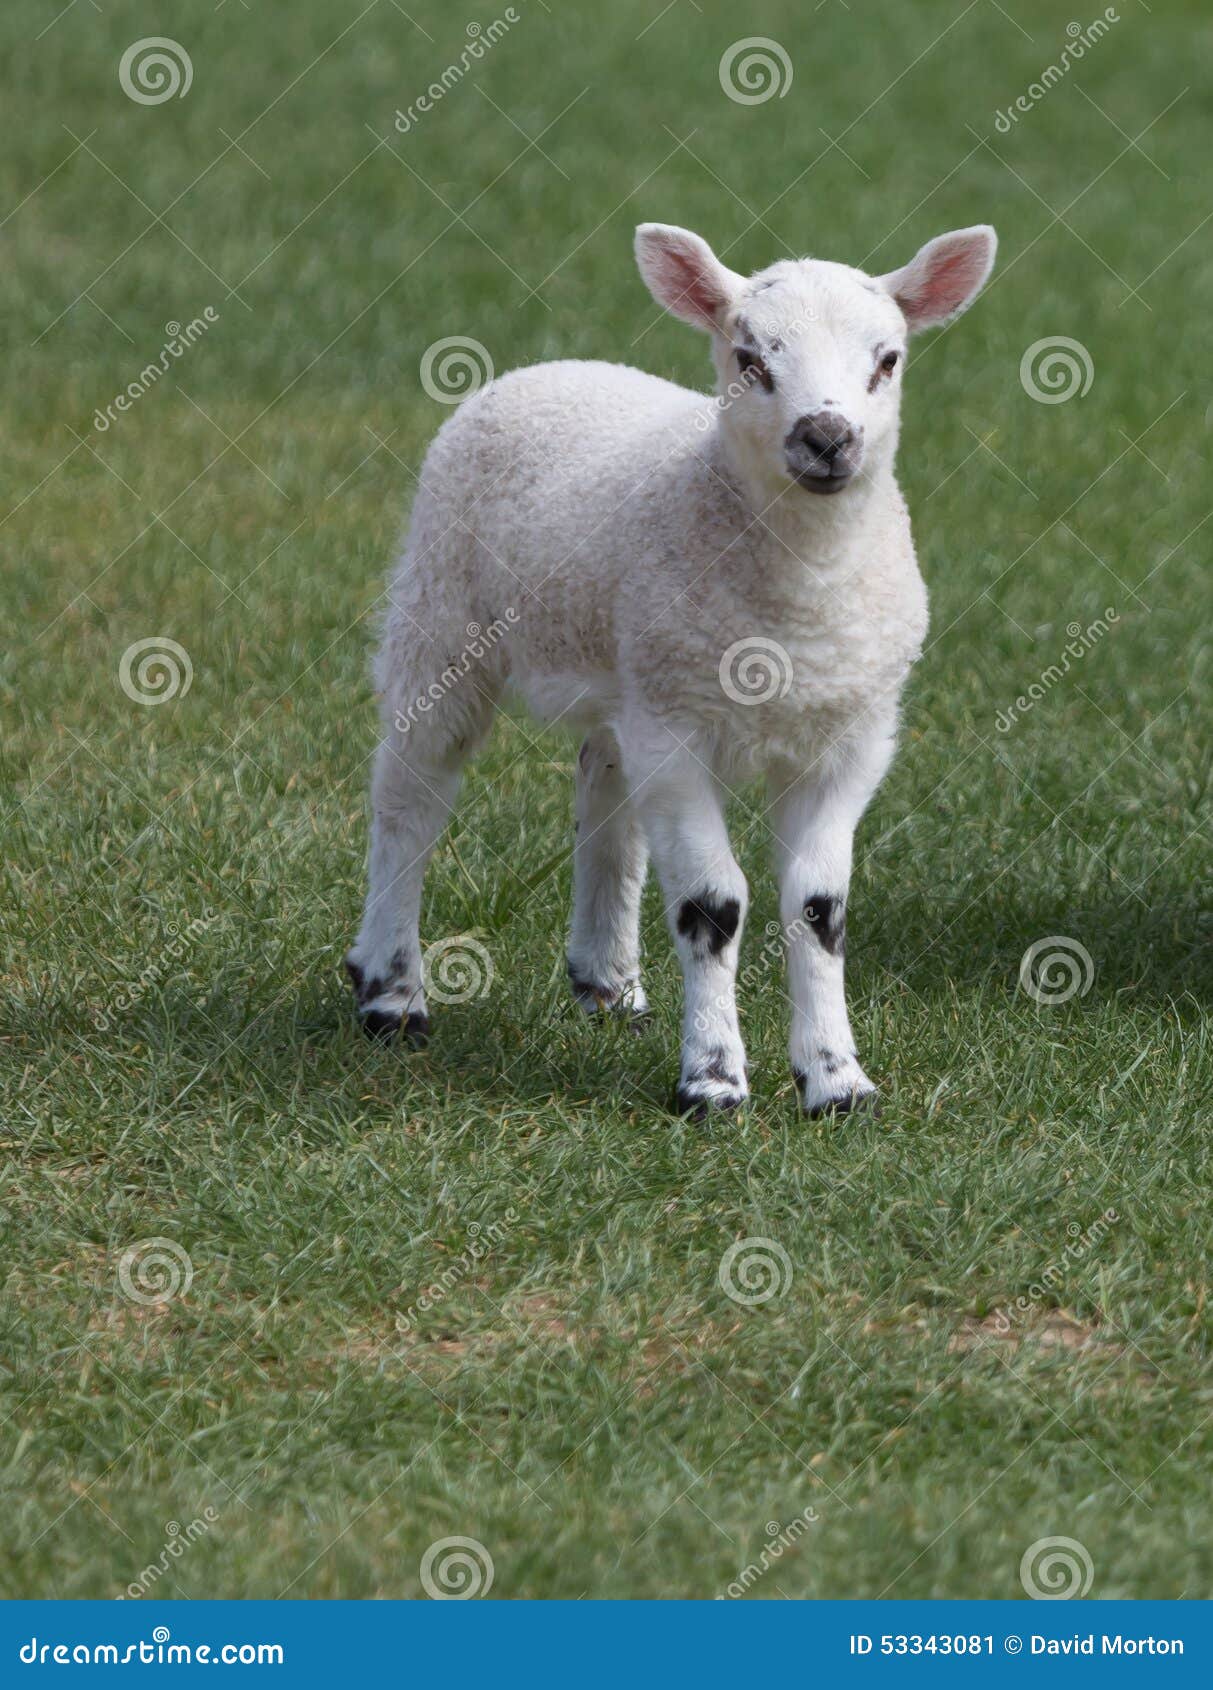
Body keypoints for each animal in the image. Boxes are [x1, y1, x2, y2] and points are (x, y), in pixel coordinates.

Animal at [345, 220, 996, 1118]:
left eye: (887, 359)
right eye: (749, 358)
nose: (826, 439)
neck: (800, 604)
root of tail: (553, 366)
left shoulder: (849, 738)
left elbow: (818, 908)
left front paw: (836, 1081)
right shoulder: (680, 730)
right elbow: (713, 906)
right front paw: (714, 1080)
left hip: (629, 665)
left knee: (603, 787)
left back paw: (607, 981)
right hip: (443, 611)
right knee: (410, 795)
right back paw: (390, 990)